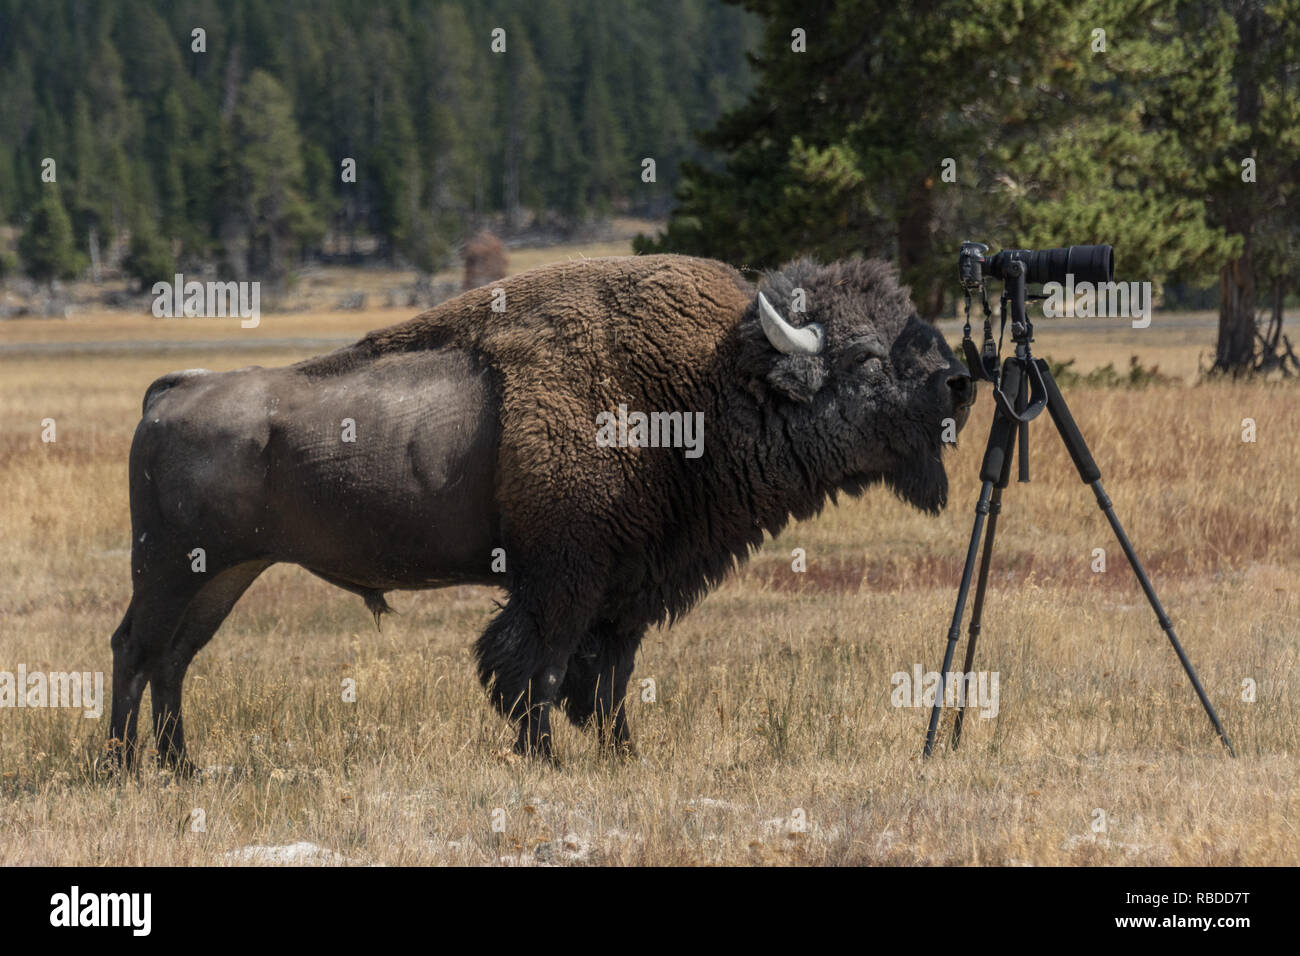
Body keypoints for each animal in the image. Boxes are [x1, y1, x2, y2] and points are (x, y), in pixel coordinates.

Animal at [108, 254, 973, 771]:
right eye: (865, 356)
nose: (959, 385)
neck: (699, 386)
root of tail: (170, 391)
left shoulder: (629, 588)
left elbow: (612, 677)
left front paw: (623, 755)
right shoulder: (562, 578)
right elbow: (541, 667)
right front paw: (546, 756)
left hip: (226, 575)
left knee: (175, 659)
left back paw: (181, 767)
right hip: (171, 570)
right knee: (136, 649)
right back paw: (121, 767)